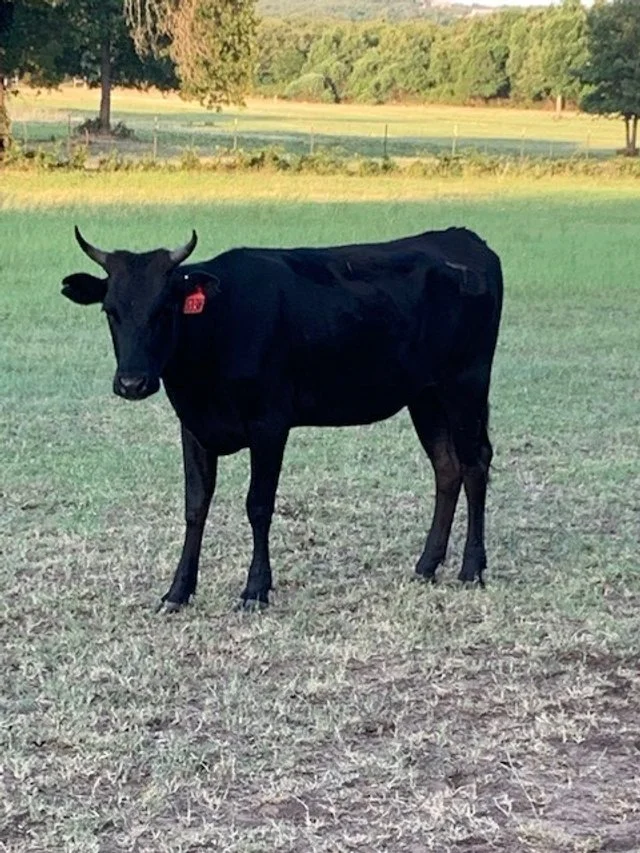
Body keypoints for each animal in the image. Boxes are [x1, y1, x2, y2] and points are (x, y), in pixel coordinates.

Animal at [61, 225, 503, 612]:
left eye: (164, 308)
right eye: (110, 310)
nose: (132, 383)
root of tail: (464, 239)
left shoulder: (269, 424)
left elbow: (258, 505)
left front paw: (255, 590)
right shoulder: (194, 428)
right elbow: (195, 506)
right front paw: (178, 591)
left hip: (466, 383)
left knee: (475, 463)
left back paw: (471, 569)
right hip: (425, 396)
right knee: (447, 468)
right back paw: (426, 566)